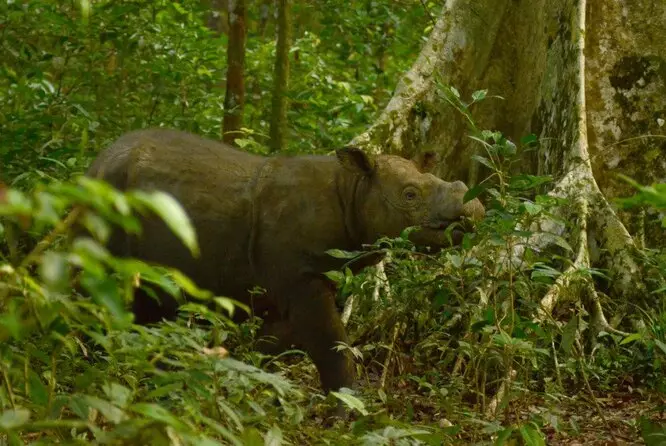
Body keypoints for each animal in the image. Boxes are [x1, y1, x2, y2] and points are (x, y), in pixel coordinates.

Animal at [87, 128, 482, 394]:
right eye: (410, 195)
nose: (472, 207)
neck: (353, 190)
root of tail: (97, 161)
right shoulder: (300, 276)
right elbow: (331, 344)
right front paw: (348, 411)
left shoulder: (309, 276)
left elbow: (278, 343)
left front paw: (241, 378)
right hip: (105, 195)